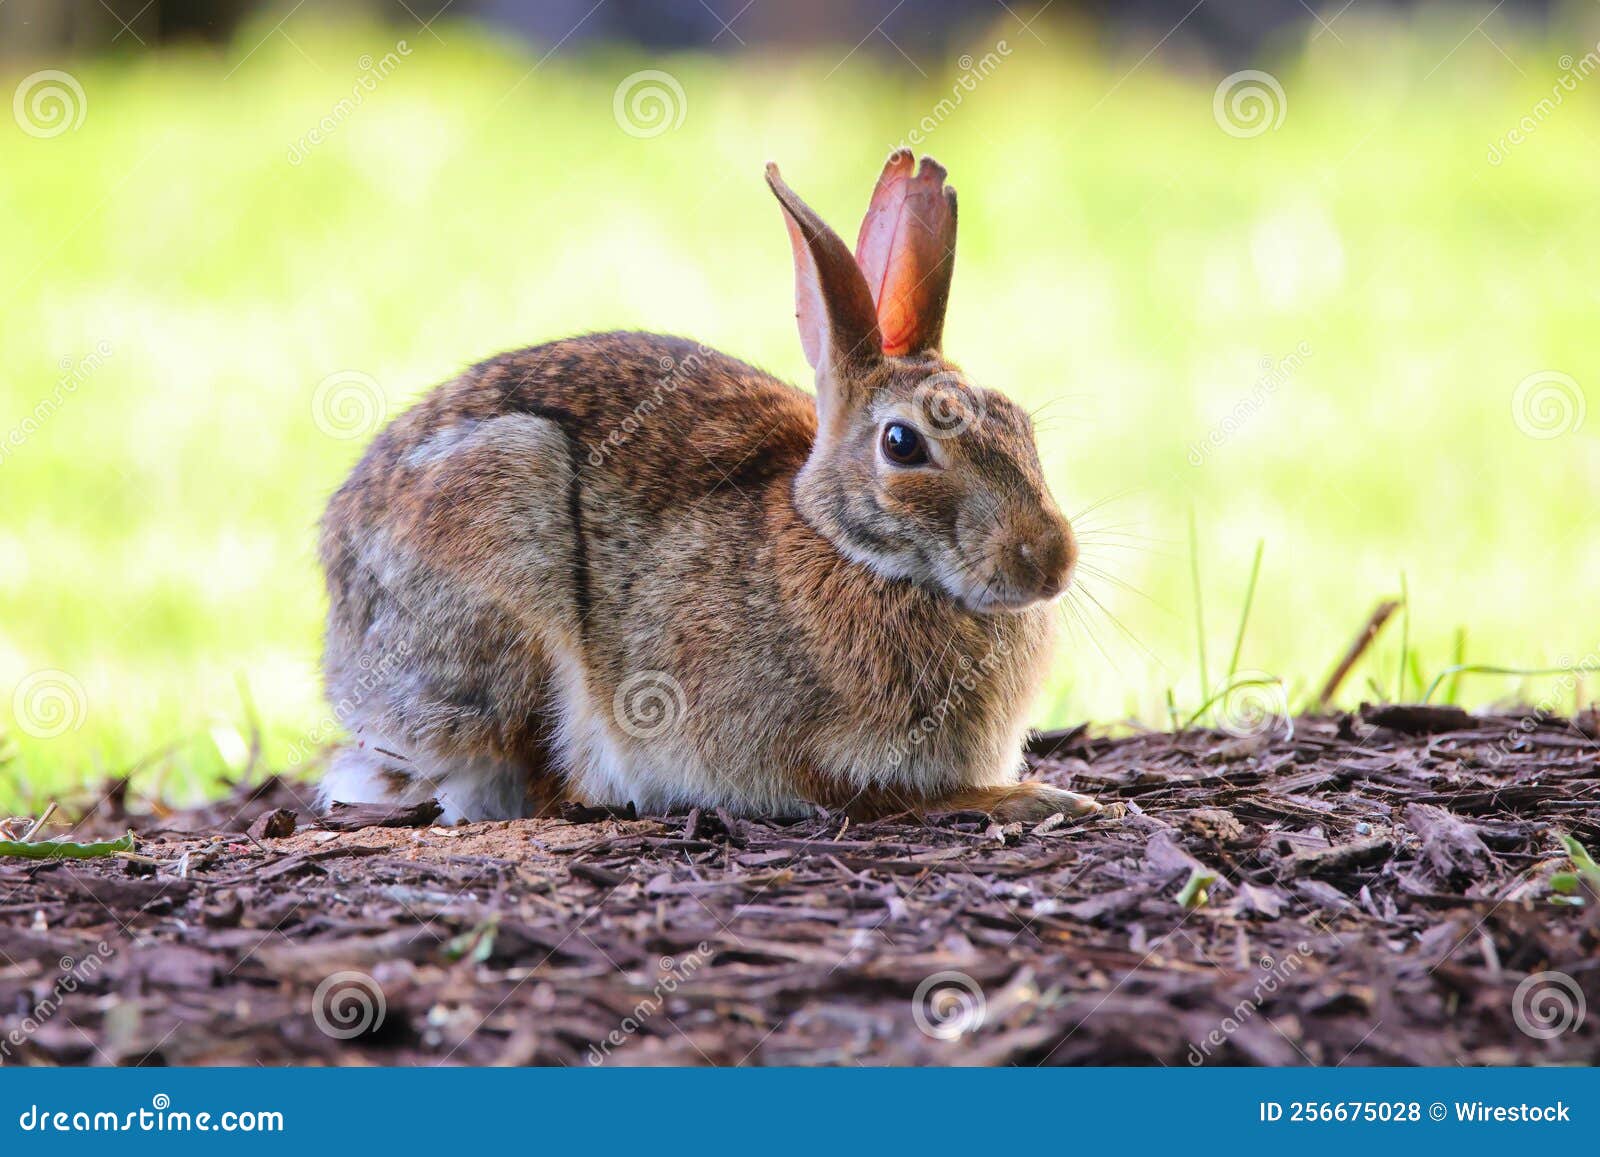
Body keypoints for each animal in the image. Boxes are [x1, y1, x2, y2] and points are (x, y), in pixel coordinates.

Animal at [316, 149, 1100, 826]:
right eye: (903, 444)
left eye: (1019, 422)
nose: (1051, 561)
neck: (846, 549)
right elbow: (876, 797)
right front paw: (1035, 796)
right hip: (504, 537)